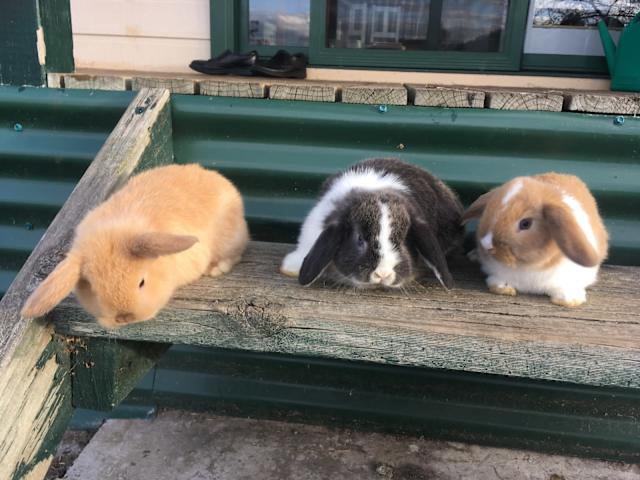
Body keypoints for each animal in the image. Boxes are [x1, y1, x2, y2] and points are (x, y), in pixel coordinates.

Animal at [461, 172, 609, 307]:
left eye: (525, 223)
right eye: (488, 211)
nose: (487, 244)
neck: (528, 266)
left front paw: (568, 300)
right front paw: (503, 288)